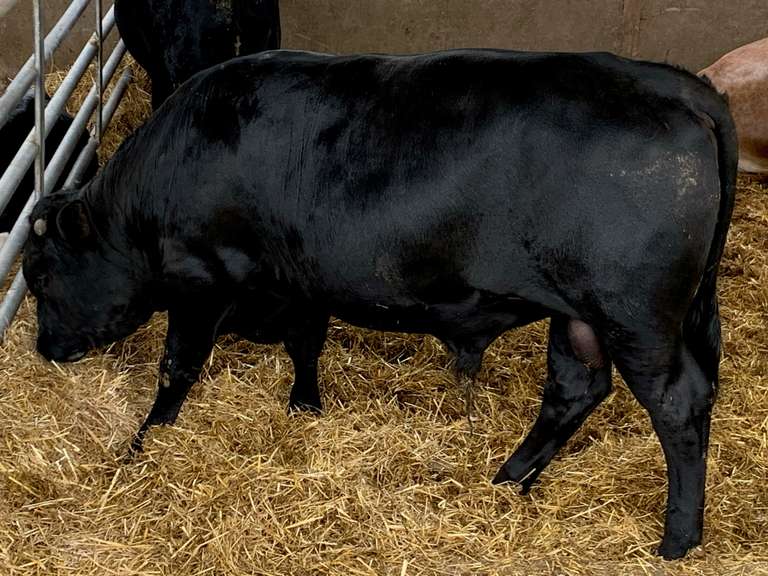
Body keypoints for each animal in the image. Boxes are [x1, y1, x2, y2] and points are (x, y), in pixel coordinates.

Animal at [22, 49, 737, 559]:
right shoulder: (298, 278)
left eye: (40, 275)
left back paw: (677, 538)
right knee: (575, 388)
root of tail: (676, 84)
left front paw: (145, 444)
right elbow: (305, 341)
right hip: (581, 315)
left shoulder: (199, 279)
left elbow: (178, 366)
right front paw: (305, 407)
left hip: (636, 318)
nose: (45, 348)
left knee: (679, 404)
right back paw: (511, 478)